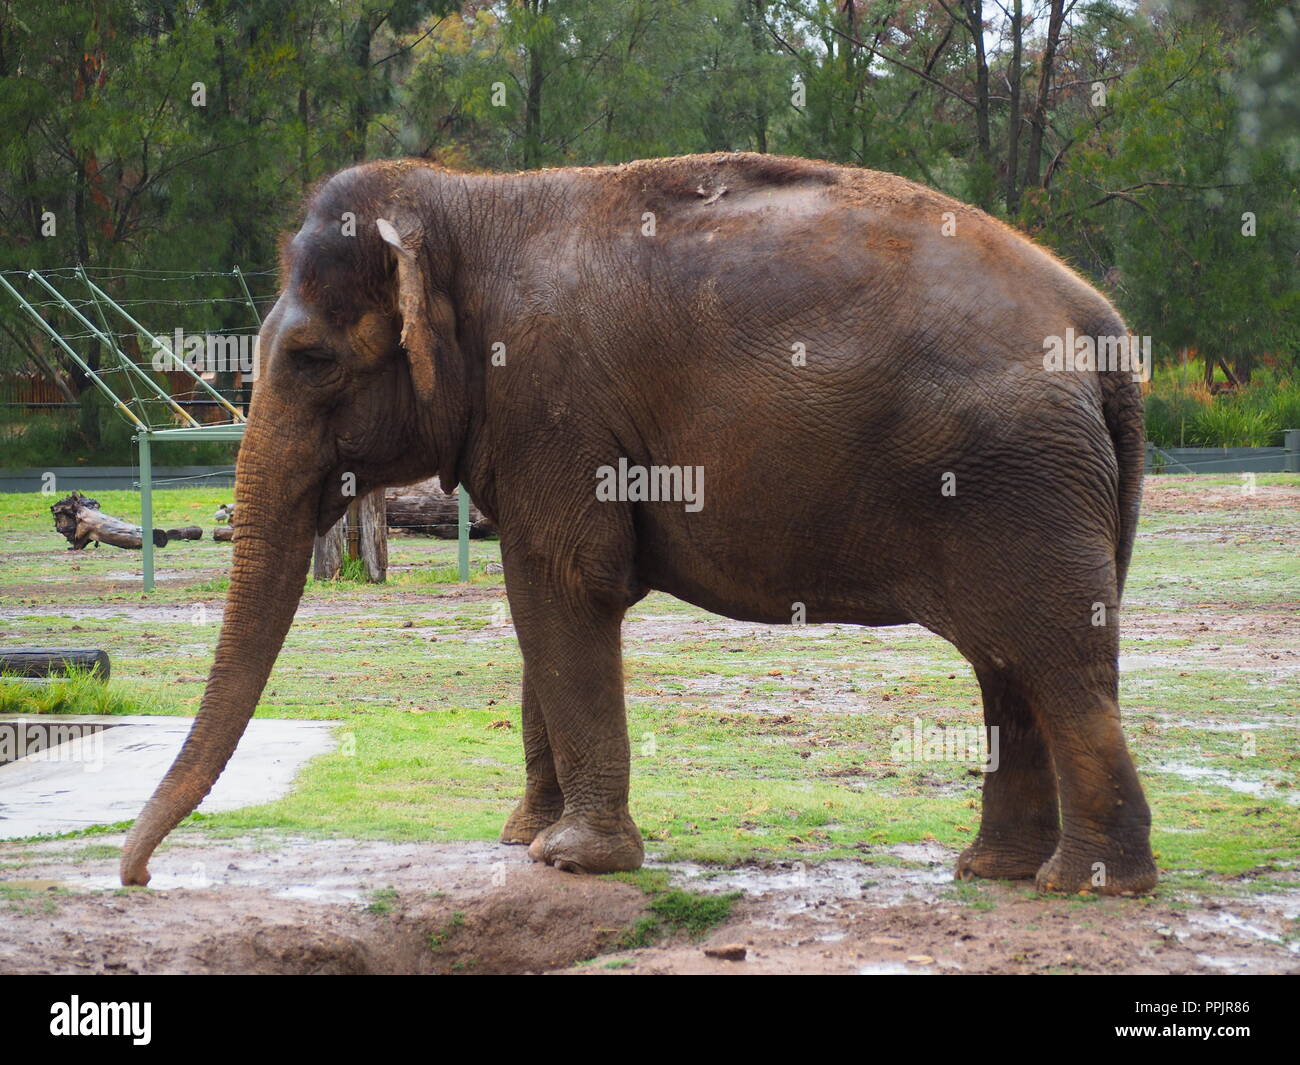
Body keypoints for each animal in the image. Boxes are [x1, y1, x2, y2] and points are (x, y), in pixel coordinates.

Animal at [120, 152, 1157, 896]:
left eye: (310, 356)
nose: (137, 876)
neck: (465, 198)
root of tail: (1105, 331)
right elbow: (540, 608)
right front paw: (526, 837)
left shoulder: (552, 407)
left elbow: (561, 586)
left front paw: (570, 858)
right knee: (1011, 666)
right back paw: (999, 872)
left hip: (1016, 481)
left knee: (1052, 663)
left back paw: (1087, 886)